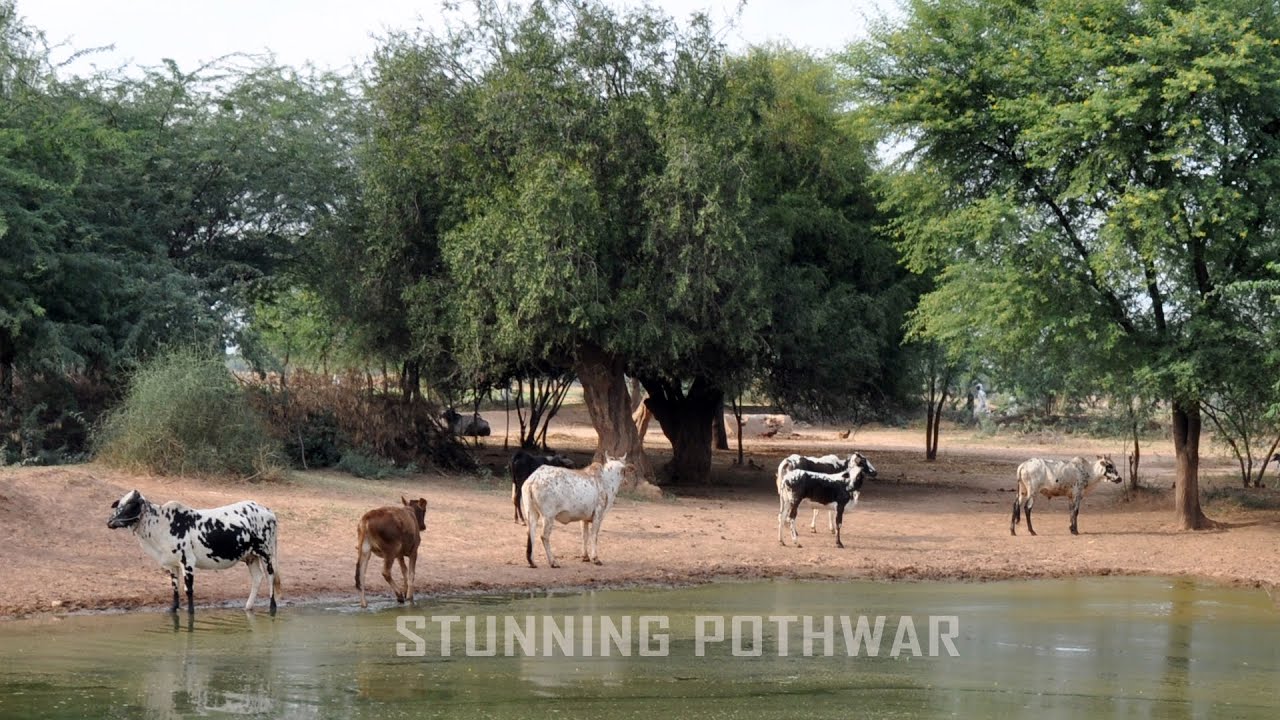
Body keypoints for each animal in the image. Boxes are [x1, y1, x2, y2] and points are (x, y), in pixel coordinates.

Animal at [107, 490, 281, 614]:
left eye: (131, 505)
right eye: (119, 504)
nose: (110, 522)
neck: (161, 524)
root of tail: (267, 510)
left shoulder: (187, 562)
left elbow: (188, 590)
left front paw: (191, 612)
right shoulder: (172, 564)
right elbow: (175, 589)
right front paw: (173, 609)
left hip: (266, 554)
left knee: (270, 578)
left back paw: (272, 607)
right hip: (250, 556)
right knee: (257, 578)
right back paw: (248, 607)